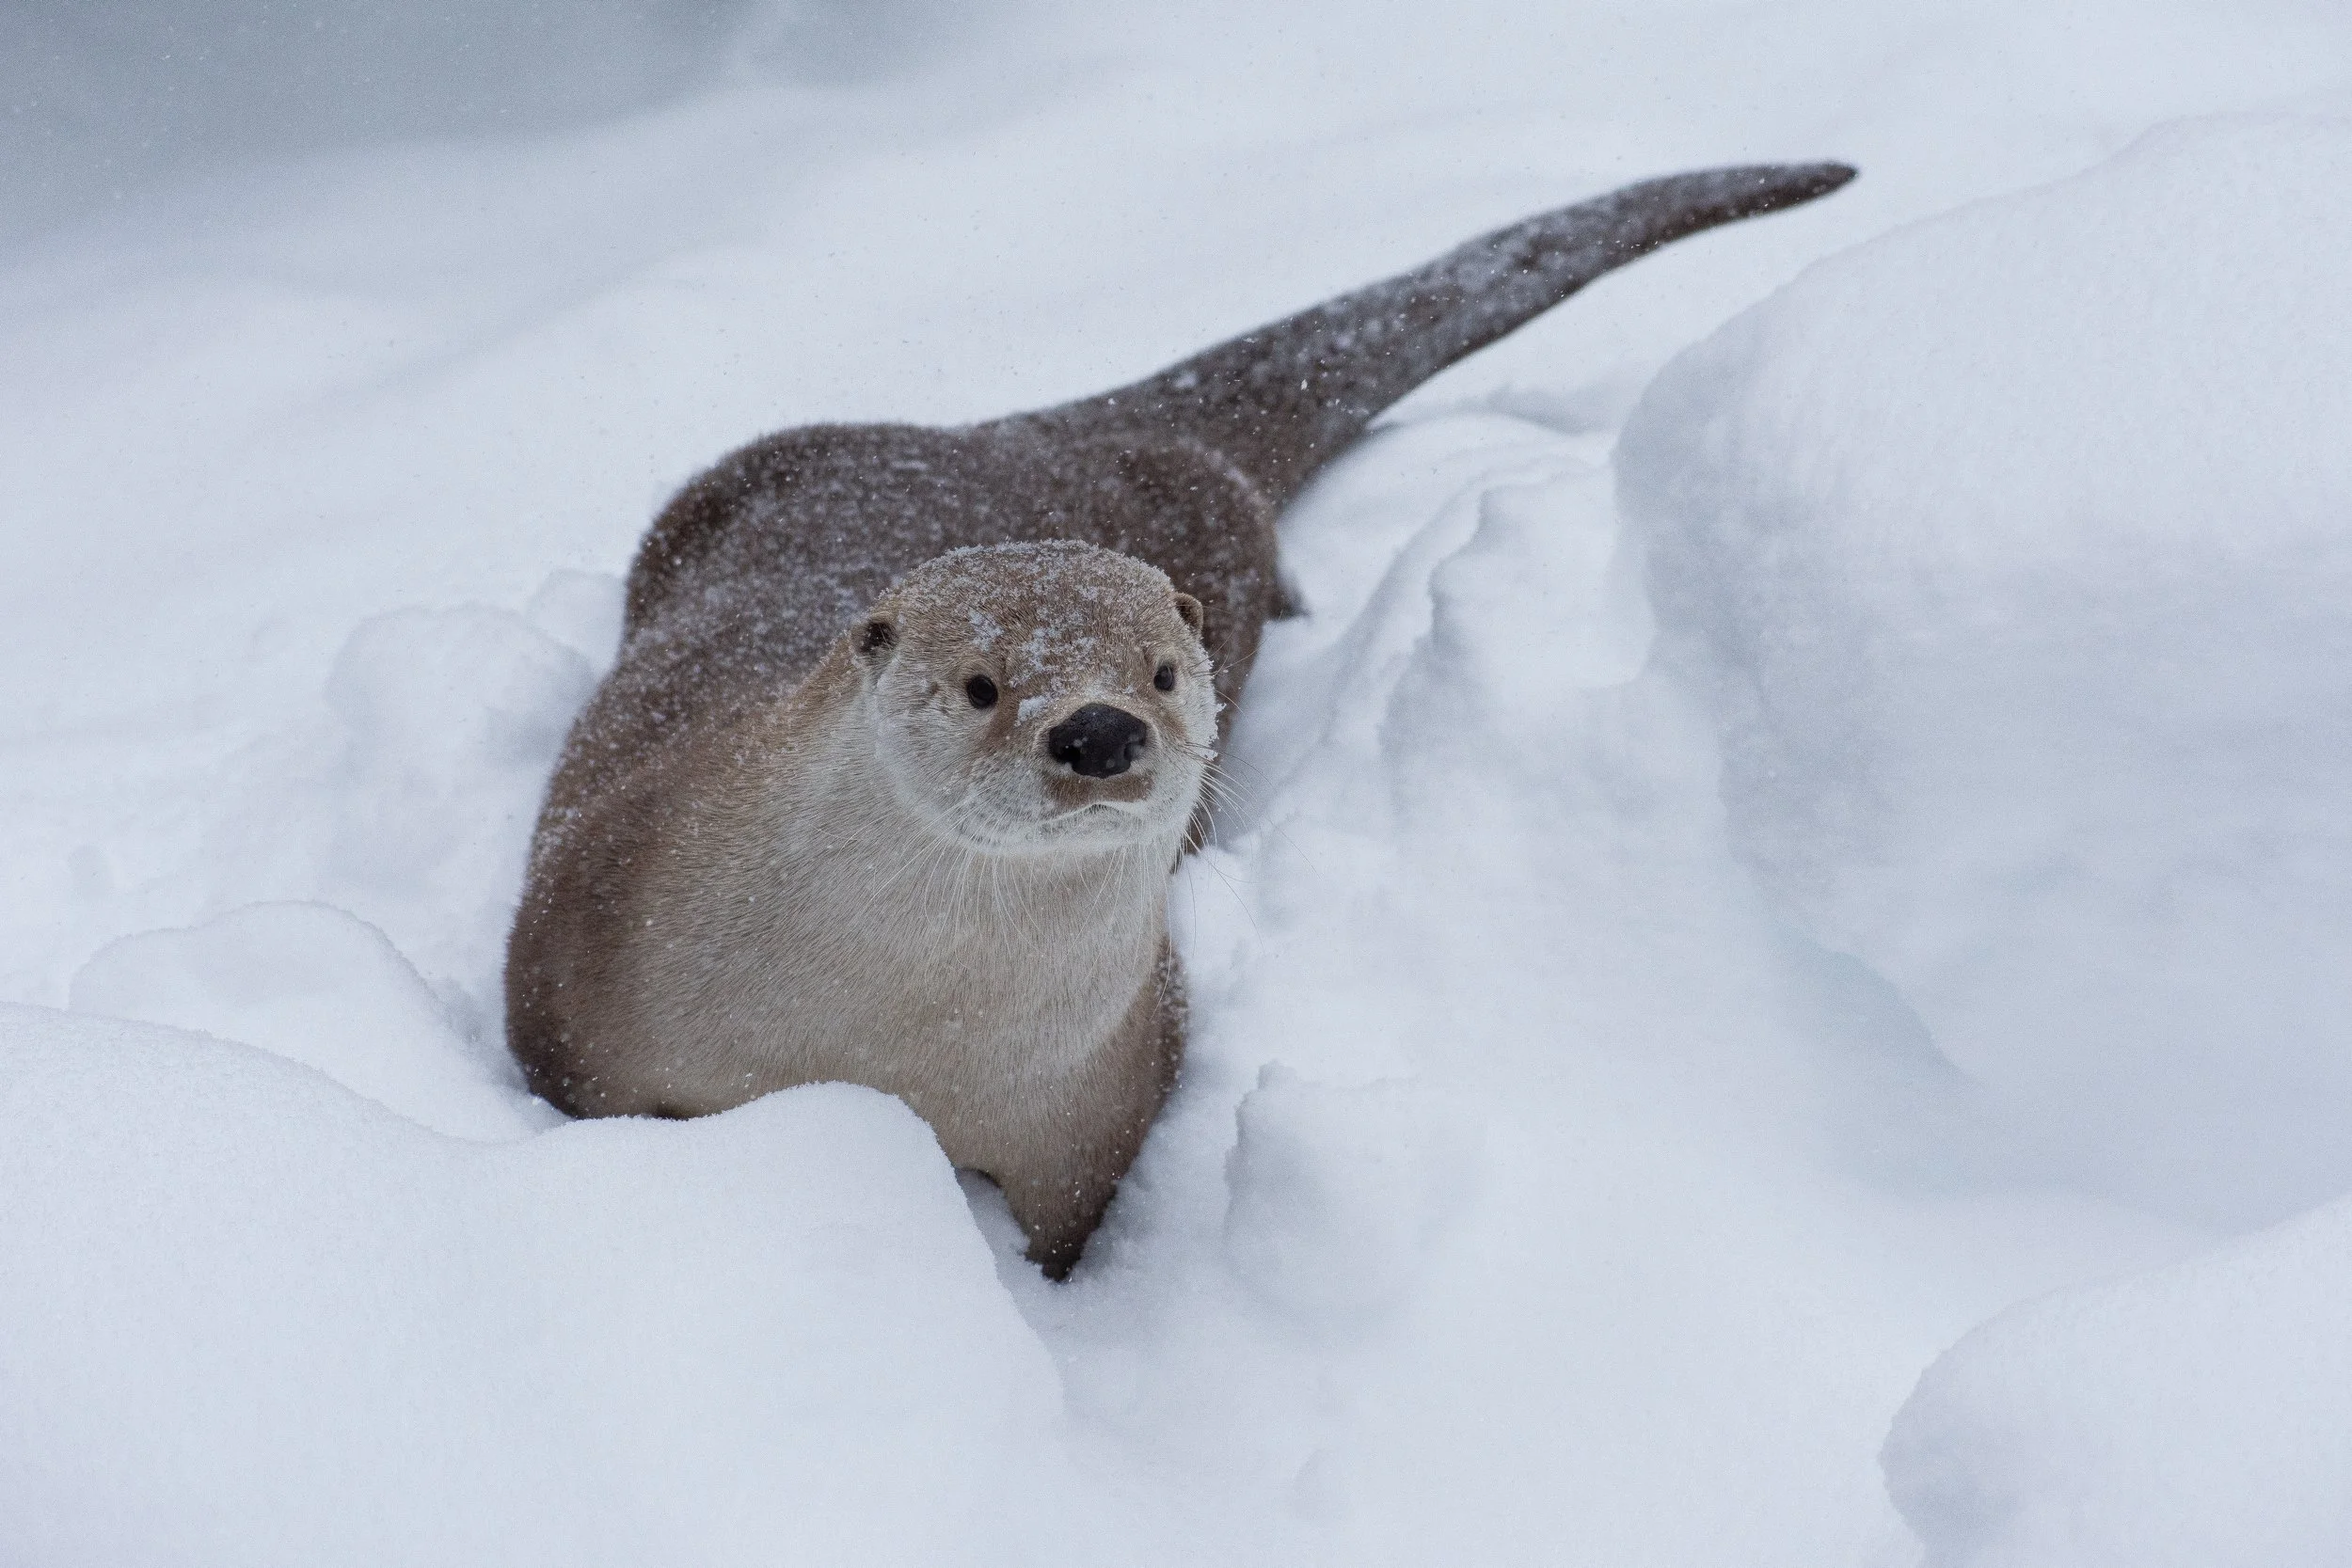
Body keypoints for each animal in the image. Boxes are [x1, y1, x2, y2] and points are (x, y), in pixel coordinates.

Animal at [507, 163, 1855, 1274]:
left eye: (1159, 670)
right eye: (983, 682)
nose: (1097, 732)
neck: (894, 1050)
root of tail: (1061, 435)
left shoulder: (1098, 1102)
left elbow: (1069, 1232)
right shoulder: (578, 983)